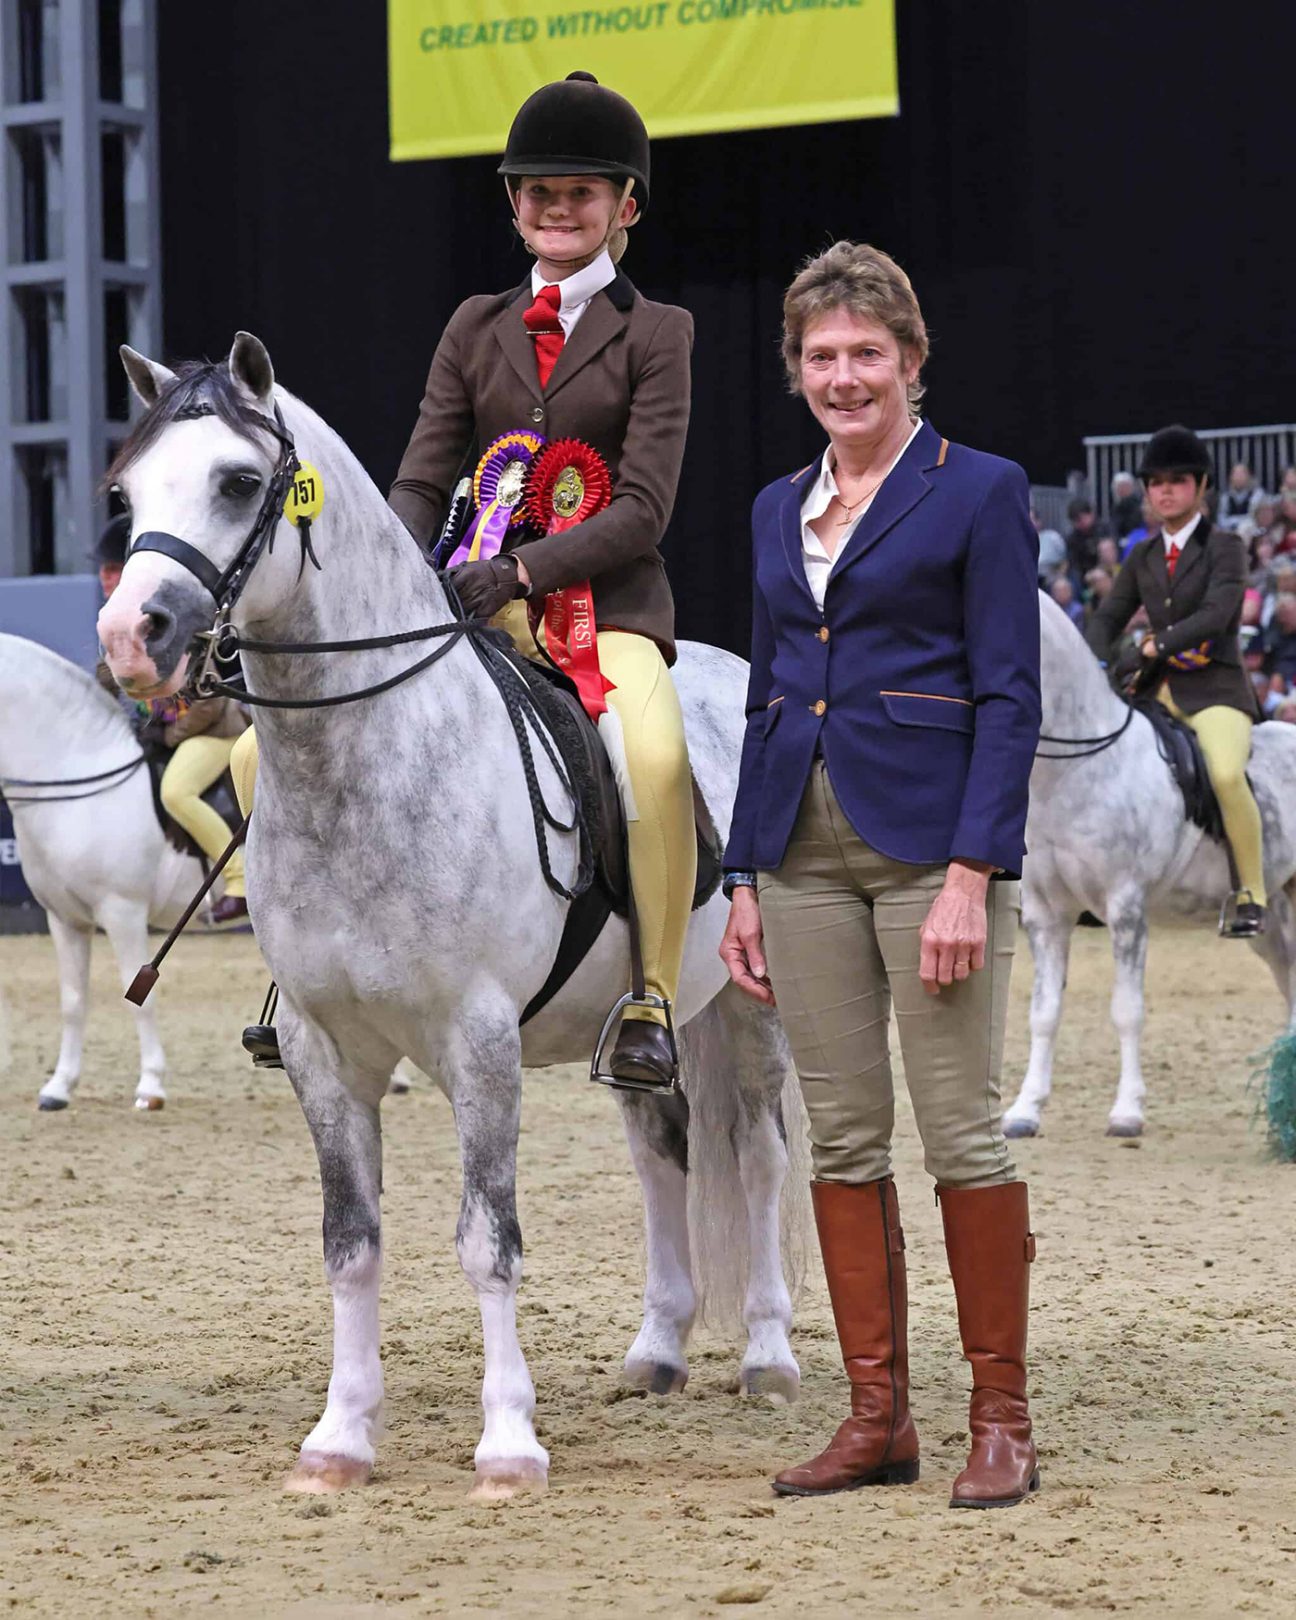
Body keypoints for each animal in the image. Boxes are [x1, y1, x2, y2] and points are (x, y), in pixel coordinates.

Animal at [0, 632, 209, 1110]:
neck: (75, 769)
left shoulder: (122, 911)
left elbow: (140, 998)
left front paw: (150, 1086)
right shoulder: (65, 919)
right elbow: (73, 1000)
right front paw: (59, 1087)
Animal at [95, 335, 807, 1498]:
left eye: (238, 483)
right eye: (126, 492)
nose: (127, 634)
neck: (366, 762)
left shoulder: (480, 1042)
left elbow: (488, 1239)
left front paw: (509, 1444)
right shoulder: (322, 1049)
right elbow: (350, 1241)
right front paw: (339, 1439)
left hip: (752, 1003)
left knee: (756, 1155)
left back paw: (768, 1355)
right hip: (643, 1026)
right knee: (662, 1147)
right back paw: (657, 1351)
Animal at [1003, 593, 1296, 1139]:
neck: (1074, 769)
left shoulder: (1126, 909)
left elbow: (1127, 1010)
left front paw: (1127, 1111)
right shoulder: (1045, 914)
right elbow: (1043, 1012)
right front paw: (1025, 1110)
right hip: (1272, 915)